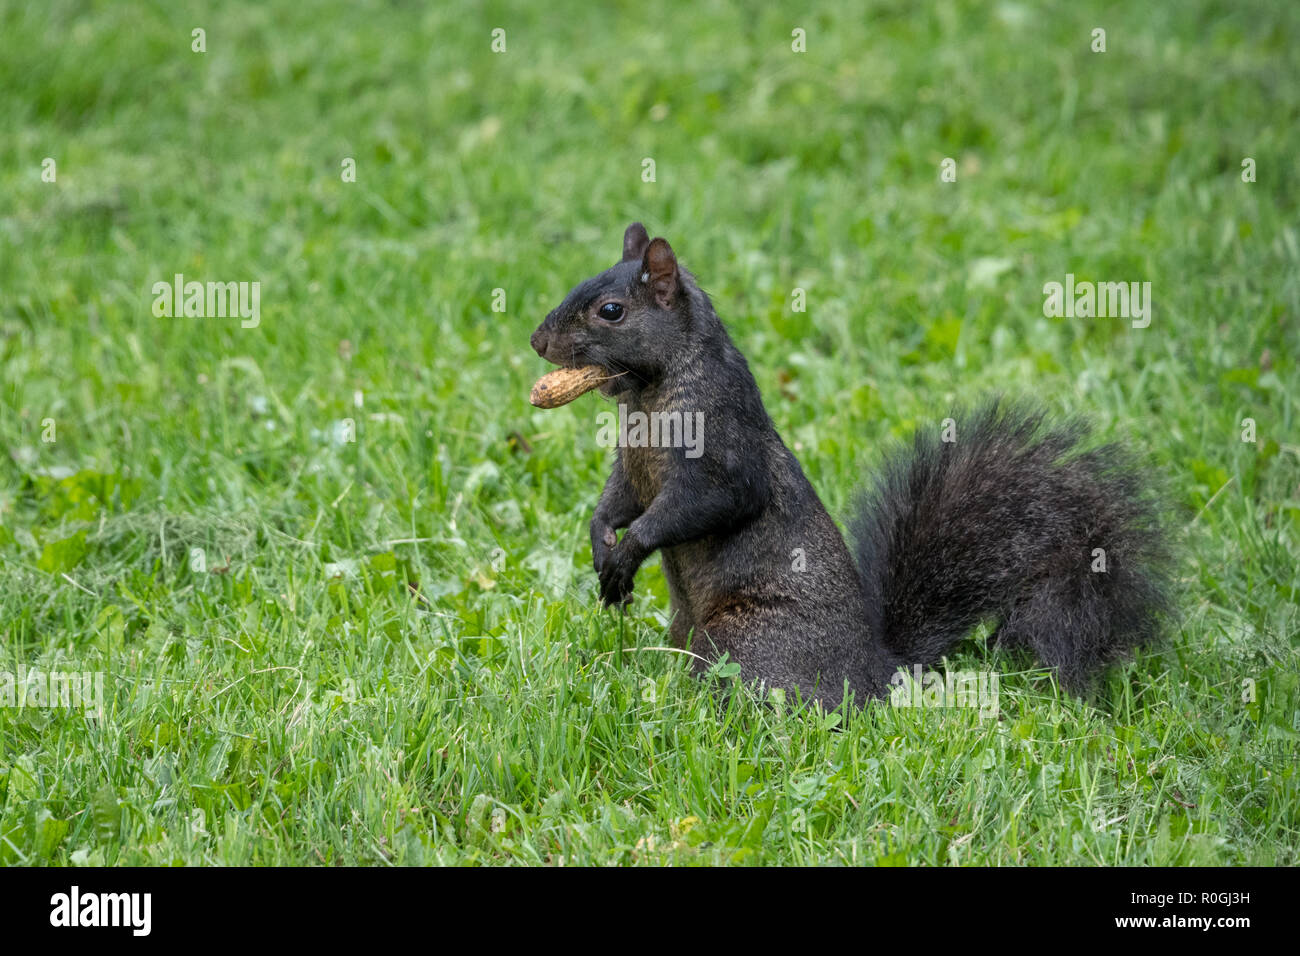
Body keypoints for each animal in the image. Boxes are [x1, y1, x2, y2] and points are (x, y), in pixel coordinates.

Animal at [529, 223, 1174, 708]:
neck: (645, 394)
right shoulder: (632, 465)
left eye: (611, 311)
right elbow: (618, 499)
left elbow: (703, 504)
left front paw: (628, 555)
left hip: (745, 639)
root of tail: (877, 672)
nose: (537, 341)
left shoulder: (719, 450)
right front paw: (601, 542)